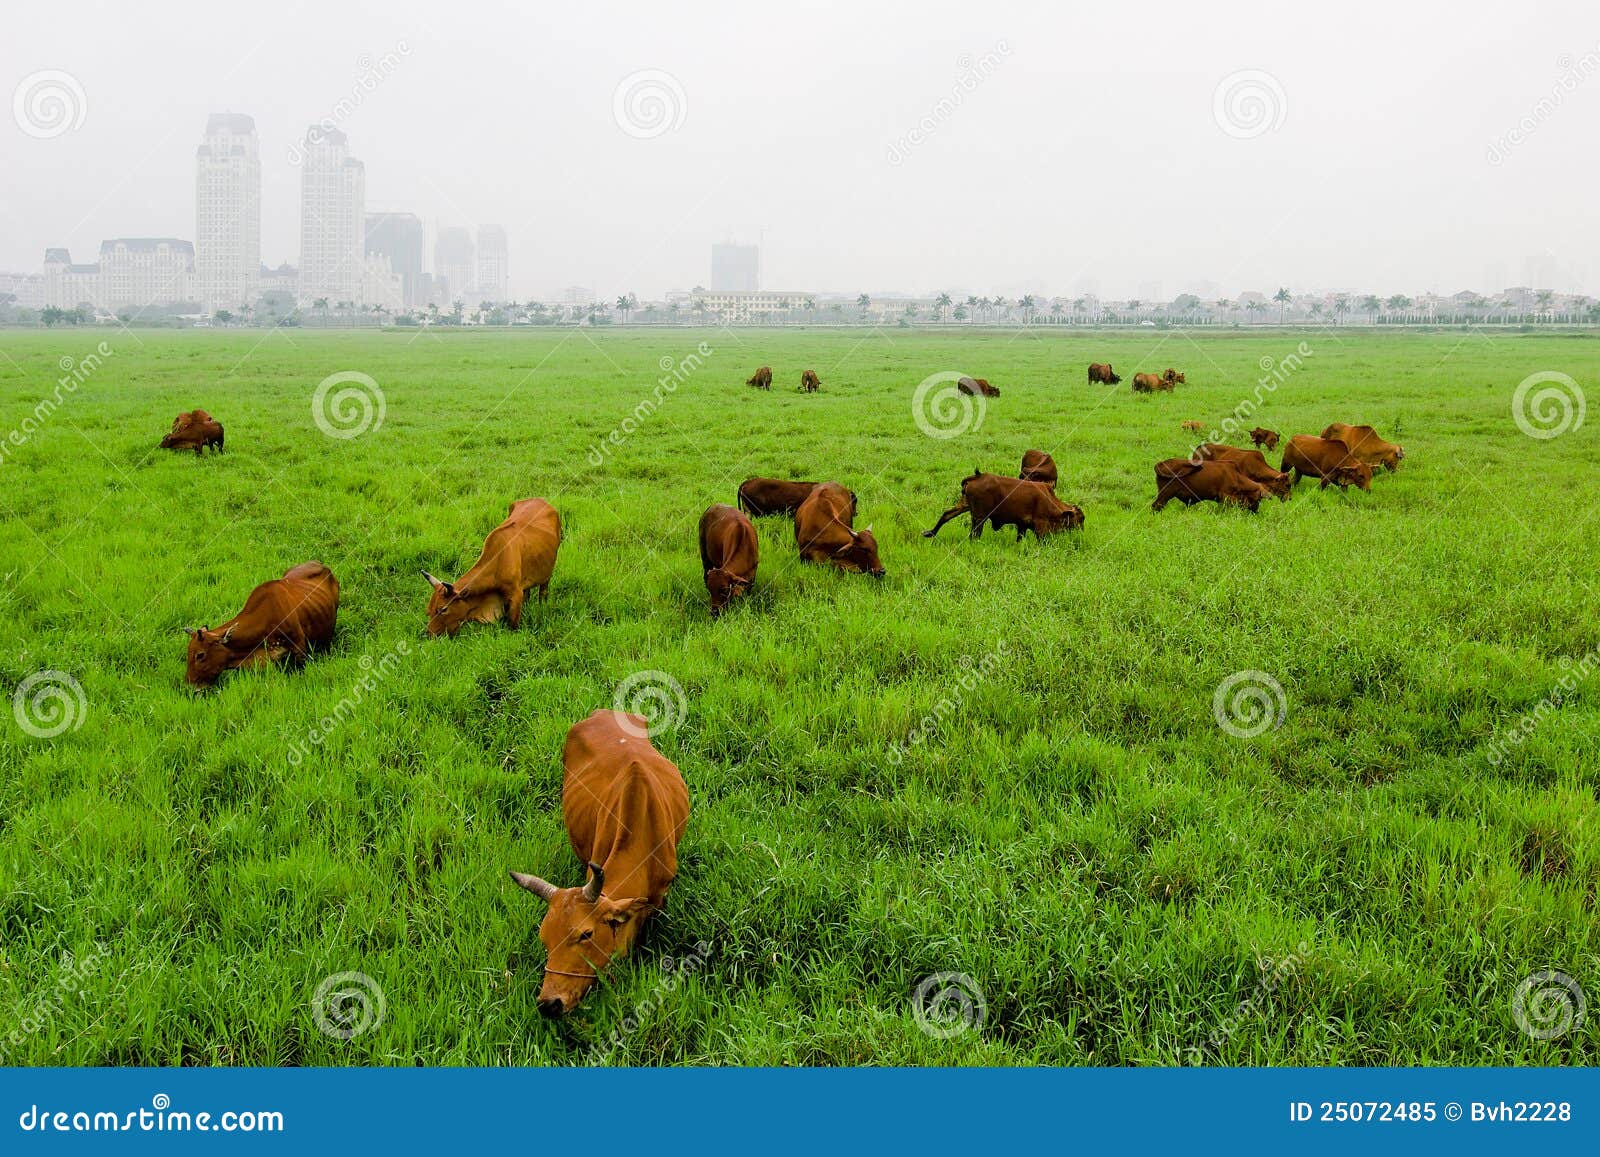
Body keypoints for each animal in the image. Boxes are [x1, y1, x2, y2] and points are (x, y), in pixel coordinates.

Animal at [423, 498, 562, 636]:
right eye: (429, 610)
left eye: (443, 609)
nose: (429, 633)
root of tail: (541, 501)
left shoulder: (516, 595)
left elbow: (513, 625)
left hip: (546, 575)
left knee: (543, 591)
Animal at [923, 471, 1084, 541]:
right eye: (1081, 519)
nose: (1082, 532)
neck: (1050, 500)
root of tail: (977, 476)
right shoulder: (1040, 527)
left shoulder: (1022, 526)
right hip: (980, 517)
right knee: (974, 534)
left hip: (965, 505)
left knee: (947, 515)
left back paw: (930, 533)